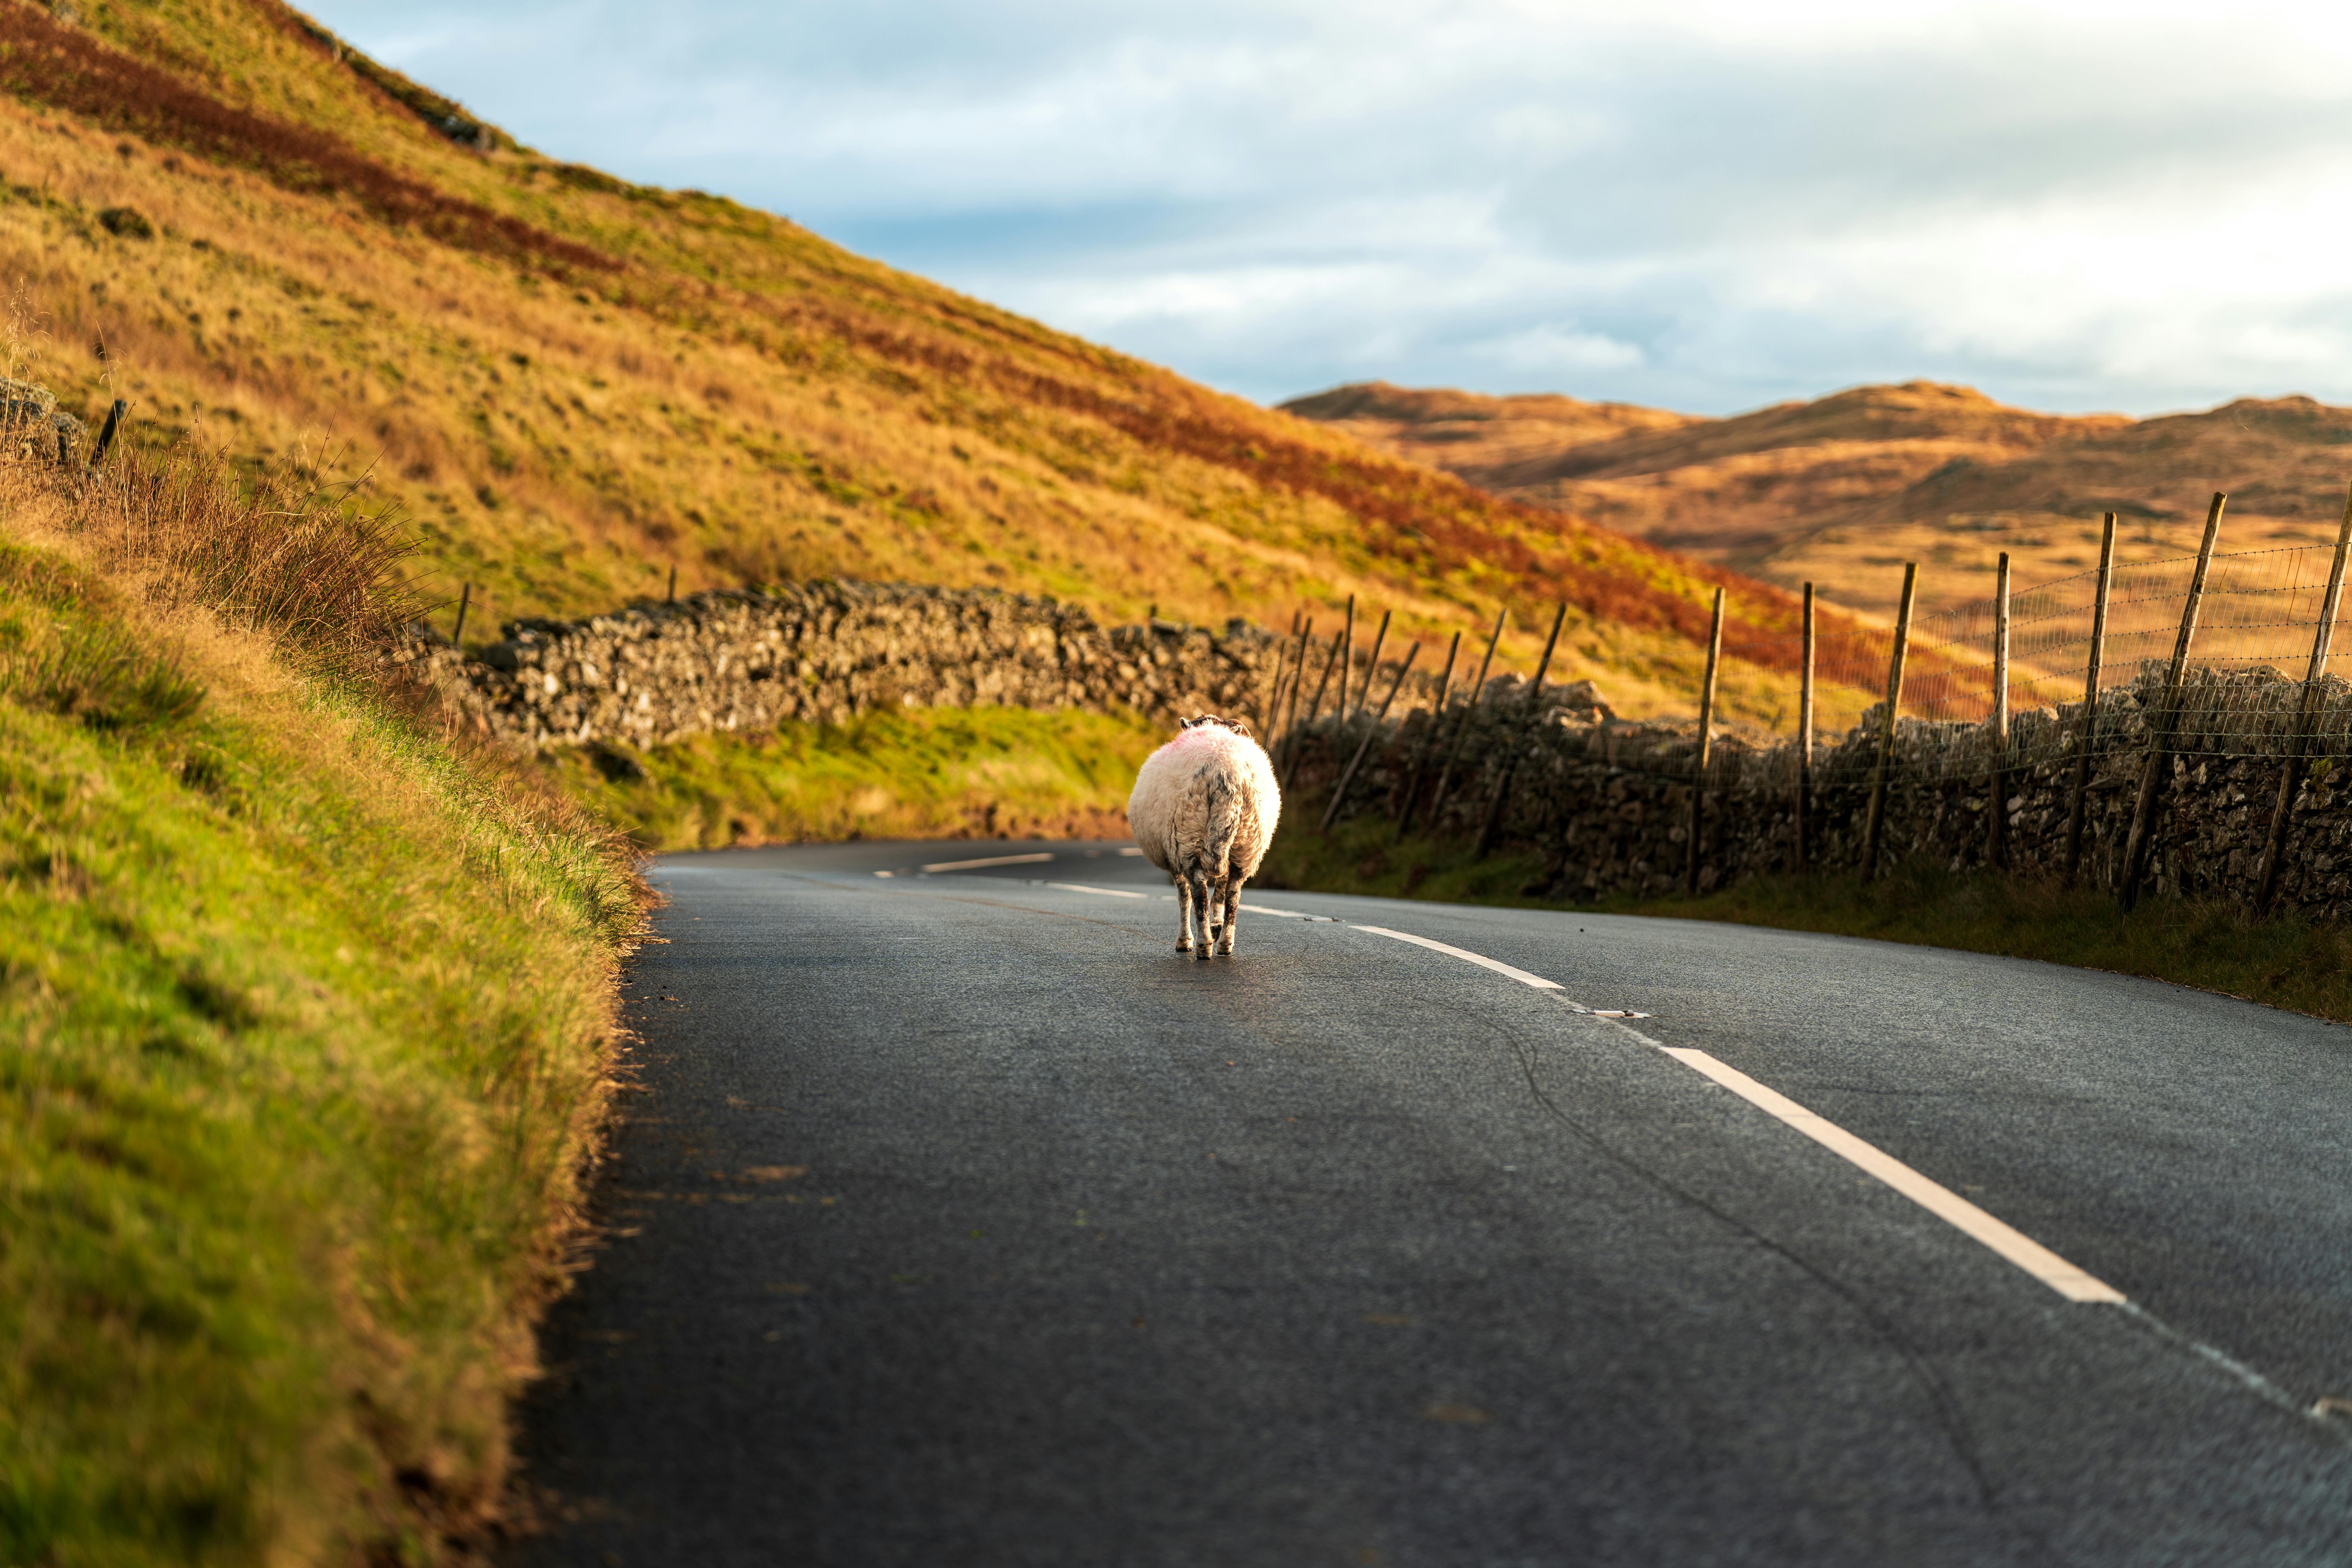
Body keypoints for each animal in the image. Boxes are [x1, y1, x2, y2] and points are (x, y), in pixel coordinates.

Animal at [1126, 714, 1282, 959]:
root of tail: (1227, 774)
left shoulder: (1175, 856)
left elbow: (1184, 897)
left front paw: (1184, 941)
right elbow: (1220, 890)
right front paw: (1216, 923)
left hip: (1187, 836)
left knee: (1198, 893)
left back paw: (1203, 945)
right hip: (1245, 844)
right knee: (1233, 893)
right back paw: (1225, 942)